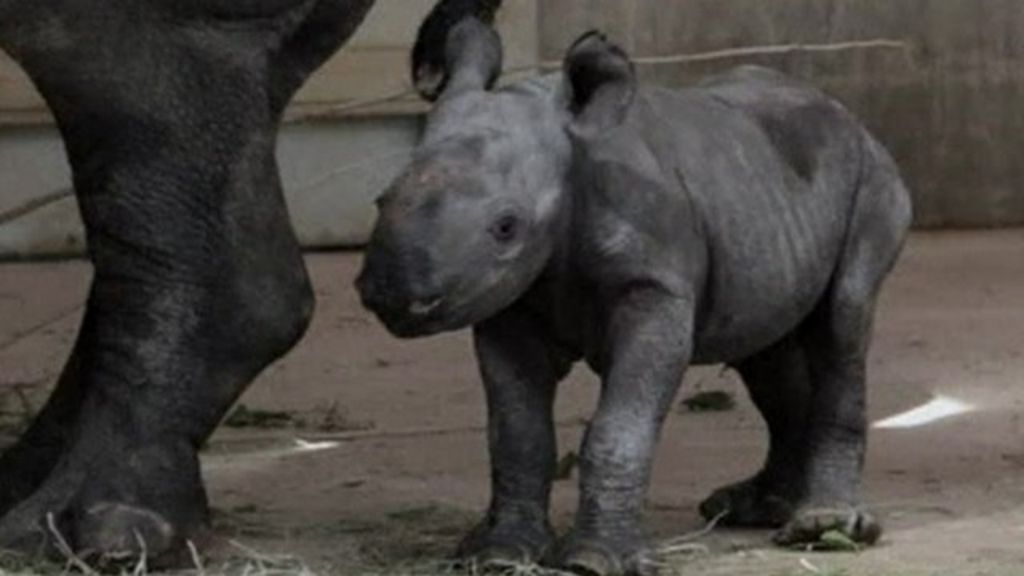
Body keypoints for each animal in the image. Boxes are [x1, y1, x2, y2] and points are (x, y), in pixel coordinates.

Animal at [357, 19, 912, 575]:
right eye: (380, 202)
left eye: (506, 227)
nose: (391, 297)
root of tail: (847, 114)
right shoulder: (508, 302)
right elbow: (517, 432)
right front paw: (499, 553)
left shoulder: (655, 289)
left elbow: (620, 426)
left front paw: (594, 560)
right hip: (764, 197)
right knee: (764, 351)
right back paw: (755, 509)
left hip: (873, 178)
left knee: (843, 322)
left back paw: (825, 528)